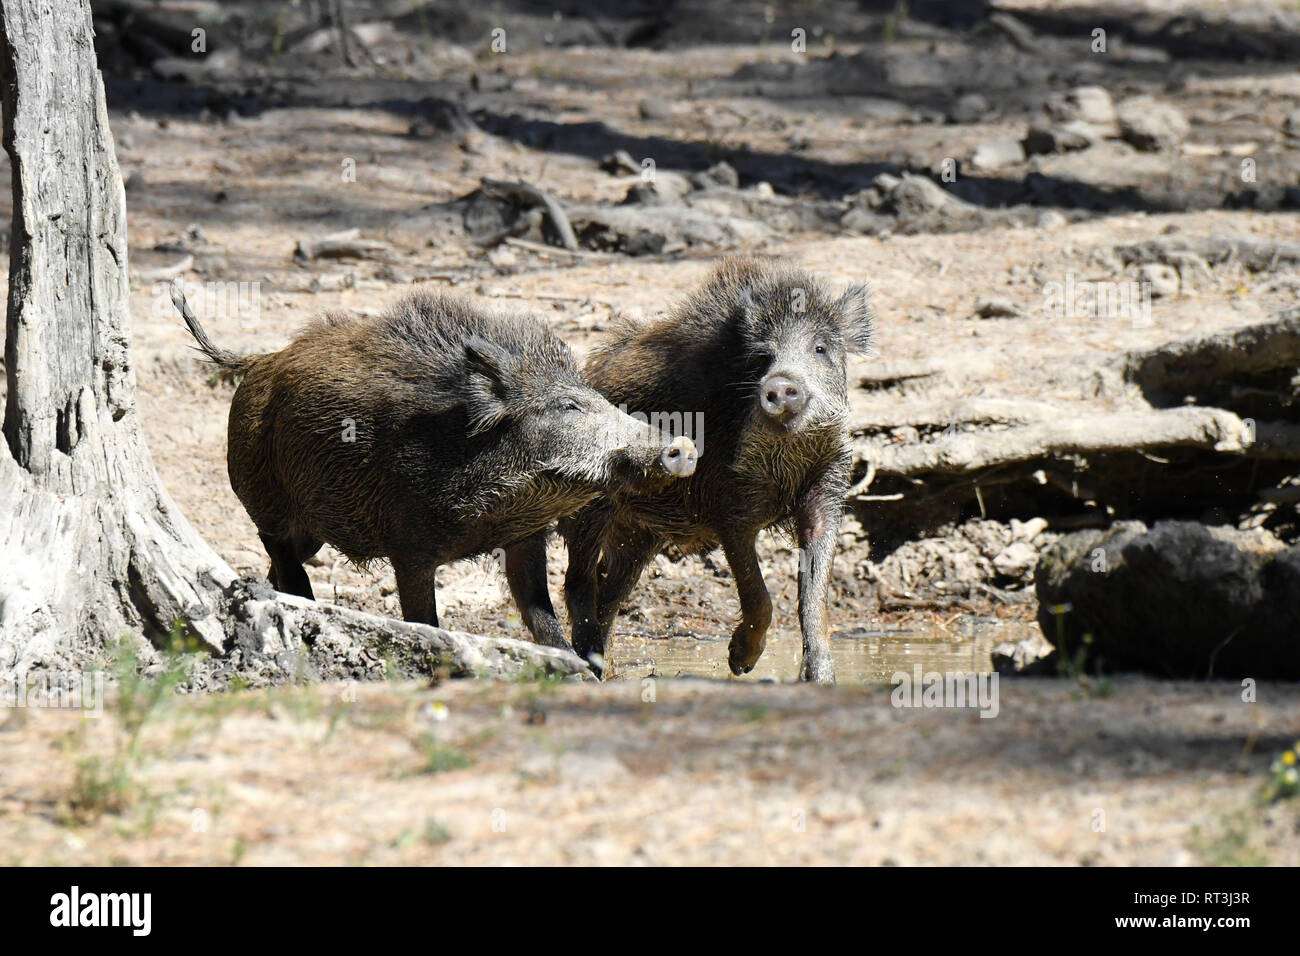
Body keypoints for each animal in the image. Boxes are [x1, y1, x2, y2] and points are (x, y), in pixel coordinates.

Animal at [170, 285, 696, 649]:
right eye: (569, 406)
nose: (683, 445)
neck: (503, 506)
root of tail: (258, 360)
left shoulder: (525, 539)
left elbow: (541, 617)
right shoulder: (410, 550)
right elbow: (424, 620)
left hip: (312, 526)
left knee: (282, 560)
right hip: (265, 497)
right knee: (278, 551)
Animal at [555, 257, 874, 682]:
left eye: (820, 348)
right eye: (762, 359)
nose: (779, 385)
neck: (787, 464)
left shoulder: (827, 493)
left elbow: (815, 596)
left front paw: (823, 680)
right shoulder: (730, 507)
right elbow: (757, 592)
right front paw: (739, 665)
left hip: (639, 535)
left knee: (611, 590)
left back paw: (602, 666)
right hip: (590, 508)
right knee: (578, 582)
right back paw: (587, 665)